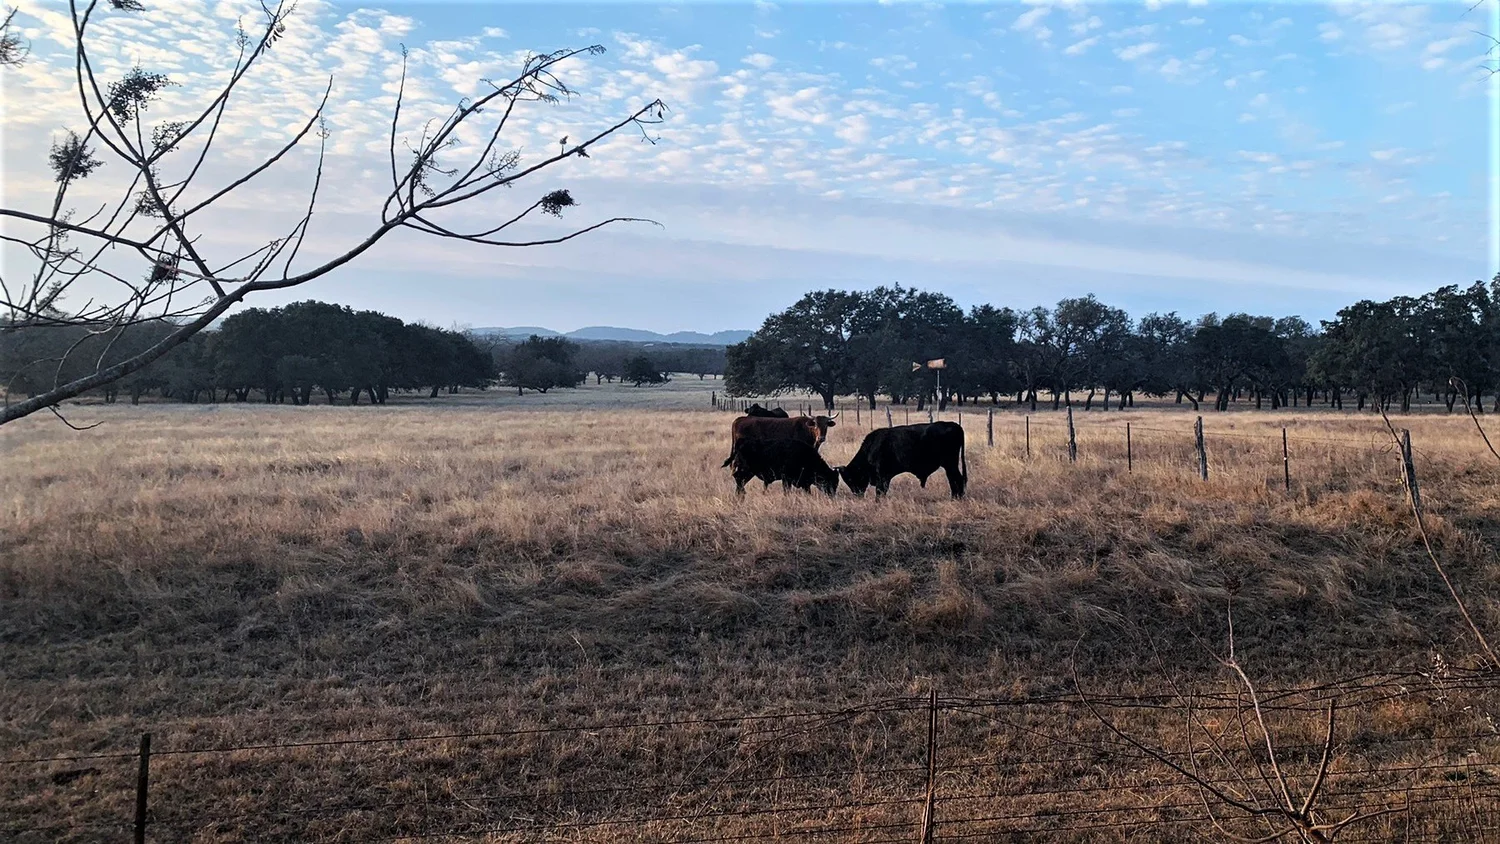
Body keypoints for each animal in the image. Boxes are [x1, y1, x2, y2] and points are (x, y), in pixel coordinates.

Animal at [836, 421, 968, 500]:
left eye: (849, 478)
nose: (857, 494)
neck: (872, 447)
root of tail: (954, 425)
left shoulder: (882, 476)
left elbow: (880, 491)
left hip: (950, 464)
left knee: (957, 479)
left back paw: (956, 498)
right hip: (950, 465)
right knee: (954, 480)